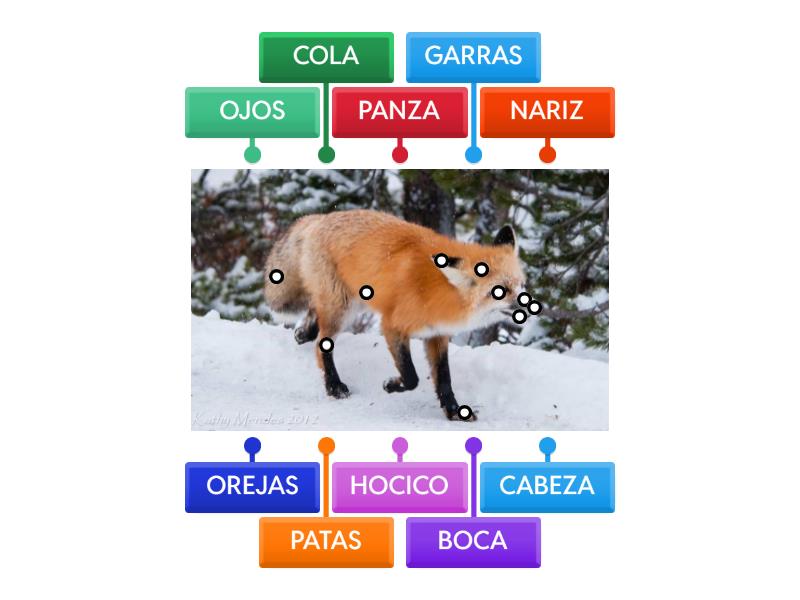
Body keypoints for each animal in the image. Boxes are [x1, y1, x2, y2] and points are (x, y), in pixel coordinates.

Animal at [263, 209, 526, 421]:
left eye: (521, 285)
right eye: (499, 291)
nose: (527, 305)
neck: (437, 289)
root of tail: (318, 218)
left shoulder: (437, 335)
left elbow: (444, 378)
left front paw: (453, 411)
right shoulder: (392, 325)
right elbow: (411, 377)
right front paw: (392, 385)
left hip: (352, 302)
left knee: (314, 316)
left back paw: (303, 333)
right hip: (342, 308)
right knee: (322, 345)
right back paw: (333, 386)